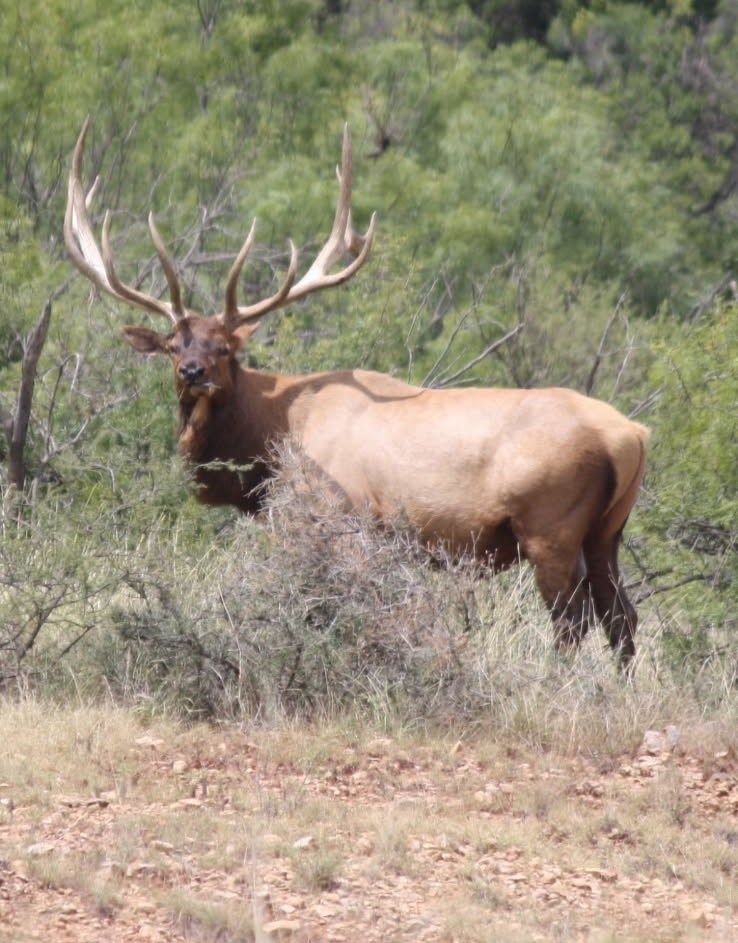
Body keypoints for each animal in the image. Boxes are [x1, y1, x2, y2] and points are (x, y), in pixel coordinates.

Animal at [64, 118, 650, 669]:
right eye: (171, 345)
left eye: (226, 347)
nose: (193, 373)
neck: (268, 444)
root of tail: (633, 435)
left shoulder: (333, 517)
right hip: (607, 532)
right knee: (621, 616)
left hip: (550, 525)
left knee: (573, 623)